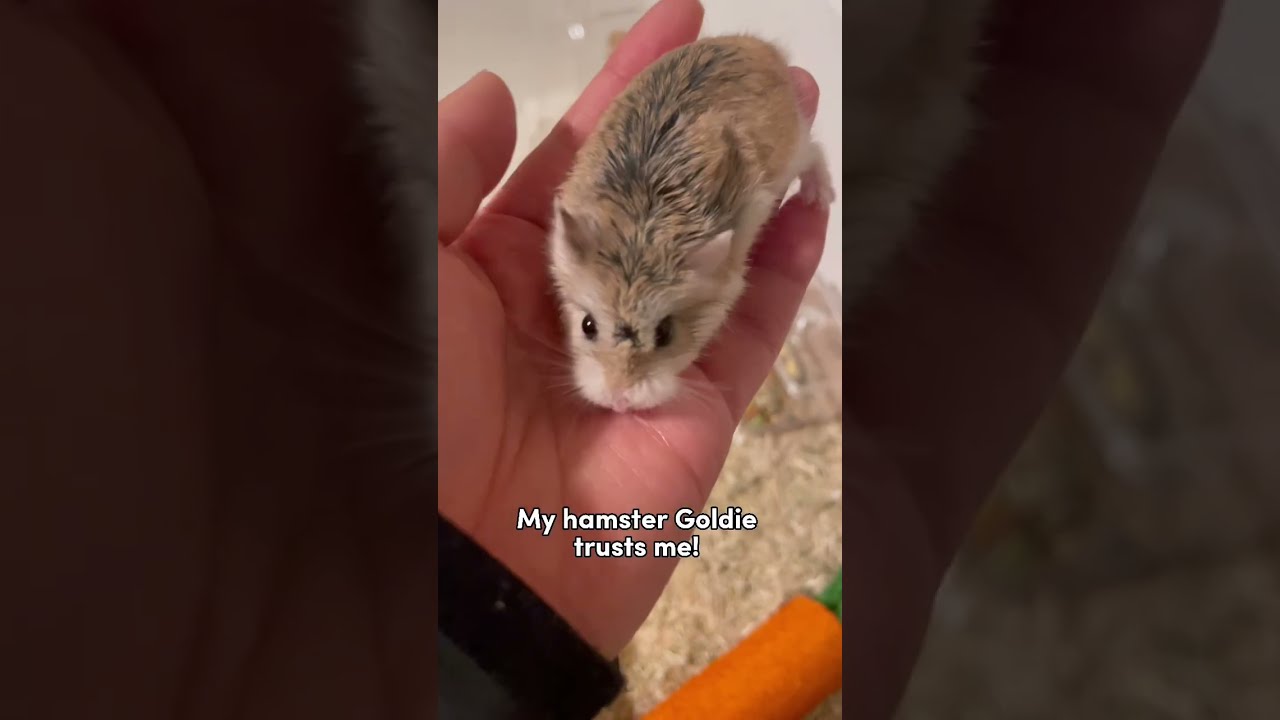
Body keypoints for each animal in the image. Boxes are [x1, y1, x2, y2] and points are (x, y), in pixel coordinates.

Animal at [549, 35, 835, 413]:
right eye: (587, 325)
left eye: (665, 333)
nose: (619, 402)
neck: (642, 227)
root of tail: (757, 45)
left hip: (795, 145)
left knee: (816, 152)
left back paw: (820, 197)